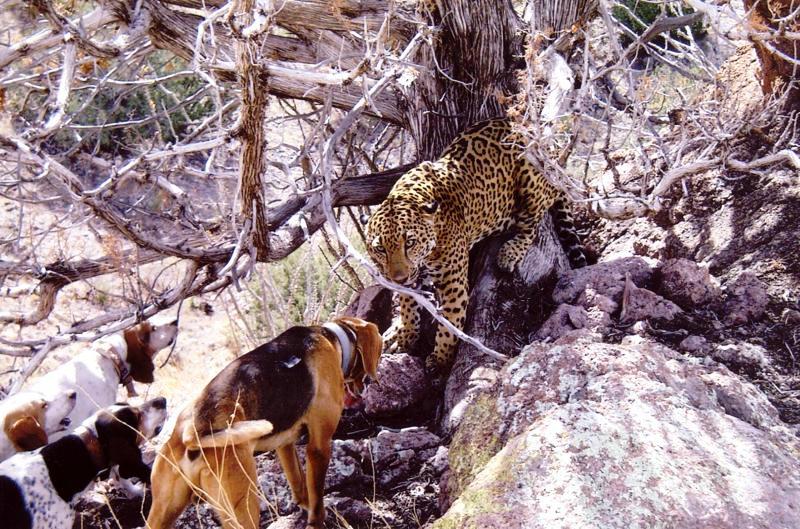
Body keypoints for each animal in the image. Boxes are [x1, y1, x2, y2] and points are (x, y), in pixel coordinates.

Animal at [365, 118, 586, 373]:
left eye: (409, 242)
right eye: (380, 249)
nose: (398, 279)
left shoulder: (452, 282)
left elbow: (450, 323)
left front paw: (440, 360)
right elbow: (408, 305)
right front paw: (405, 335)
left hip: (531, 180)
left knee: (532, 224)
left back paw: (509, 253)